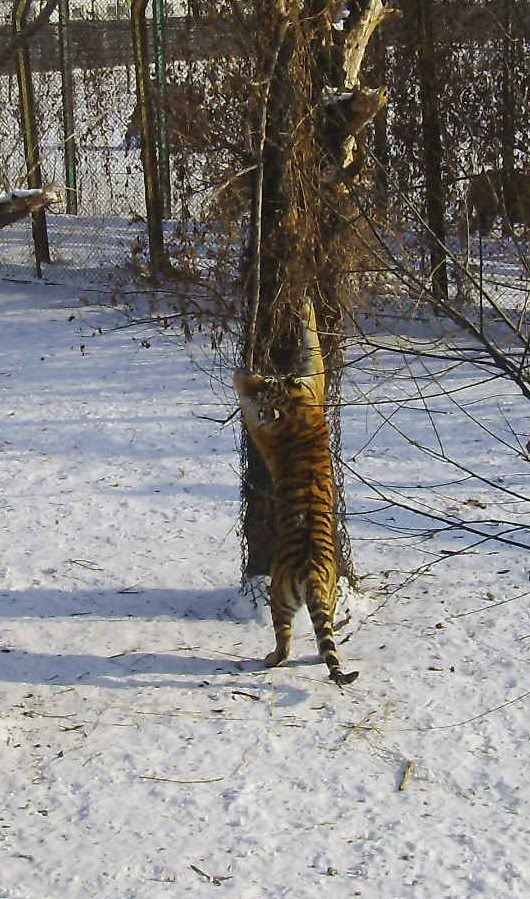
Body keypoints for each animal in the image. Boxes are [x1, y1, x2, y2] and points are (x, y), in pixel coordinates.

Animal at [234, 301, 358, 686]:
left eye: (267, 383)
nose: (256, 373)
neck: (293, 406)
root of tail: (311, 569)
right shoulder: (313, 381)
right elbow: (311, 344)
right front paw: (305, 306)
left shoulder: (266, 425)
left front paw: (239, 378)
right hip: (328, 598)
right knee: (323, 639)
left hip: (279, 595)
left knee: (284, 643)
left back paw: (269, 658)